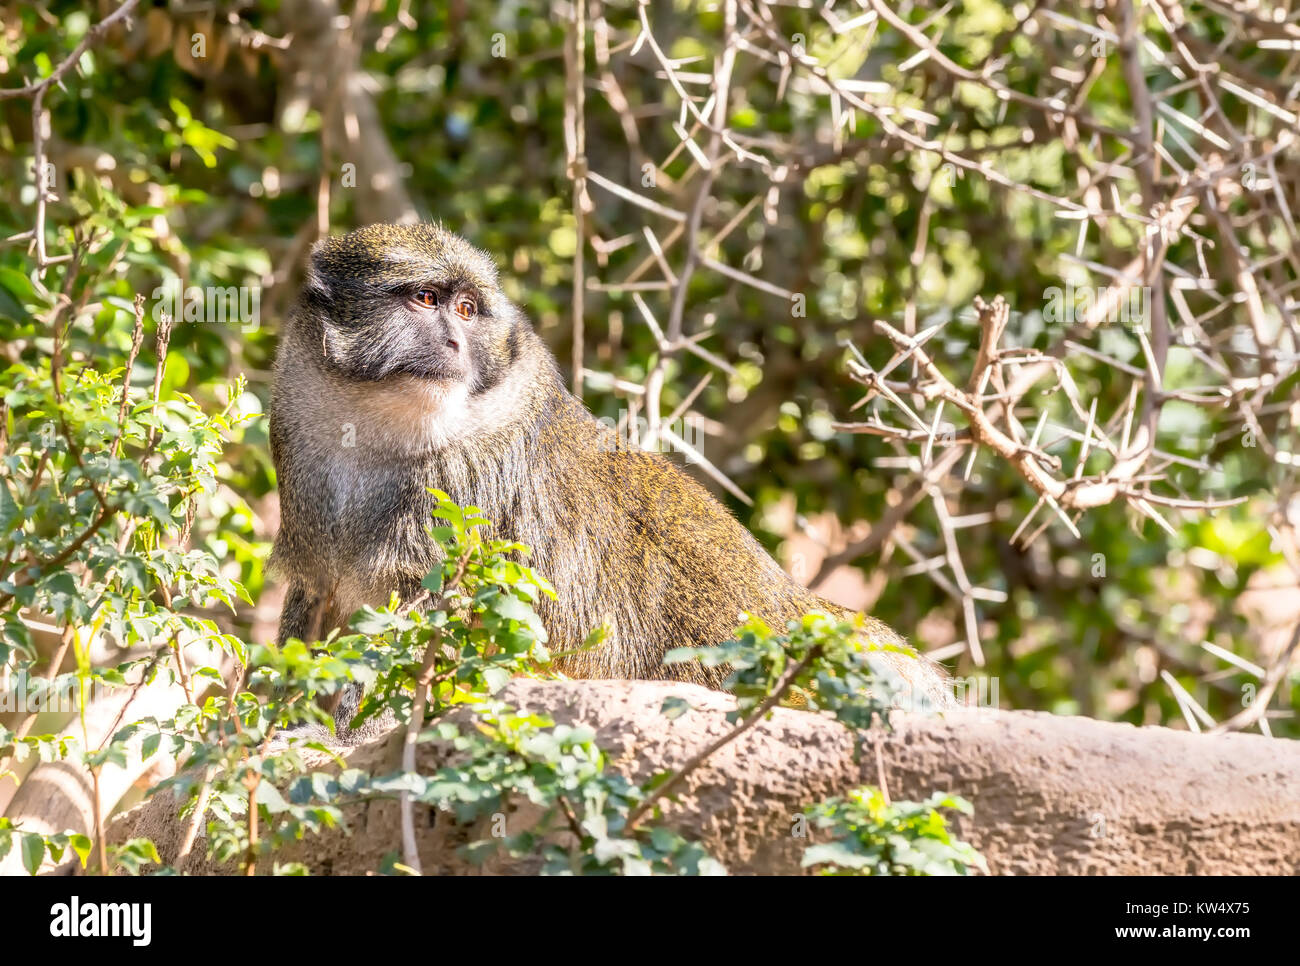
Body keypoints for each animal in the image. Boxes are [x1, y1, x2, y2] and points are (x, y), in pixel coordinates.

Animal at [269, 224, 951, 743]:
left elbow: (427, 610)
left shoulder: (462, 487)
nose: (457, 342)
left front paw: (345, 738)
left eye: (465, 310)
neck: (375, 426)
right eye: (425, 299)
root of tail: (788, 607)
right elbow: (317, 595)